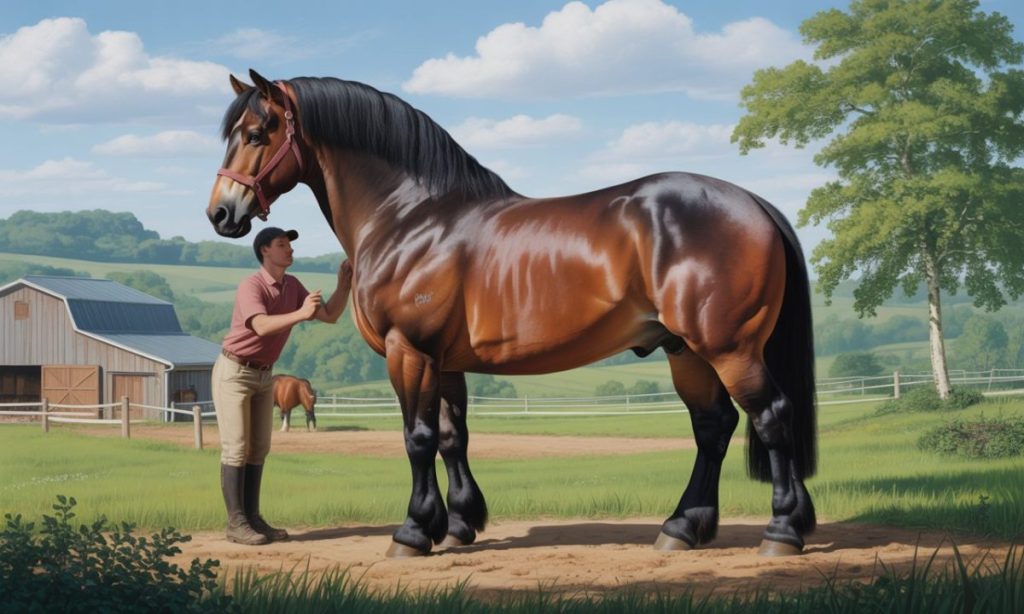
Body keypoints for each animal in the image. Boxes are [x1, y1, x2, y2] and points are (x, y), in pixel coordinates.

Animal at [207, 70, 818, 559]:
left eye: (257, 134)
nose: (220, 213)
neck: (411, 217)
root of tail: (753, 203)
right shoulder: (445, 361)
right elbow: (452, 437)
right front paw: (457, 525)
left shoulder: (409, 350)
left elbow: (417, 438)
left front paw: (412, 532)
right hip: (685, 350)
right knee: (713, 427)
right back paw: (682, 527)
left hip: (728, 347)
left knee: (770, 417)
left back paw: (781, 531)